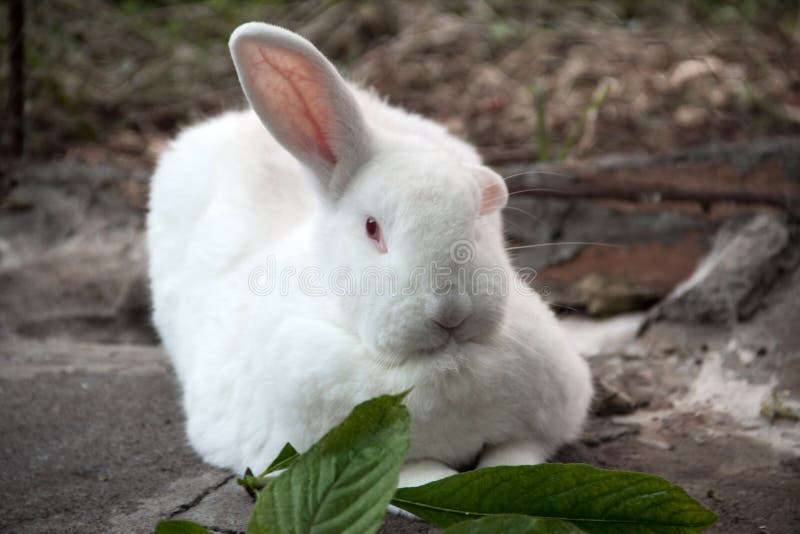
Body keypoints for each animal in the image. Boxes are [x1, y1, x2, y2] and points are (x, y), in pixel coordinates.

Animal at [147, 22, 593, 489]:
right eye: (372, 228)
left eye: (477, 221)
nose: (450, 312)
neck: (443, 363)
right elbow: (421, 475)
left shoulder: (543, 424)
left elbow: (518, 456)